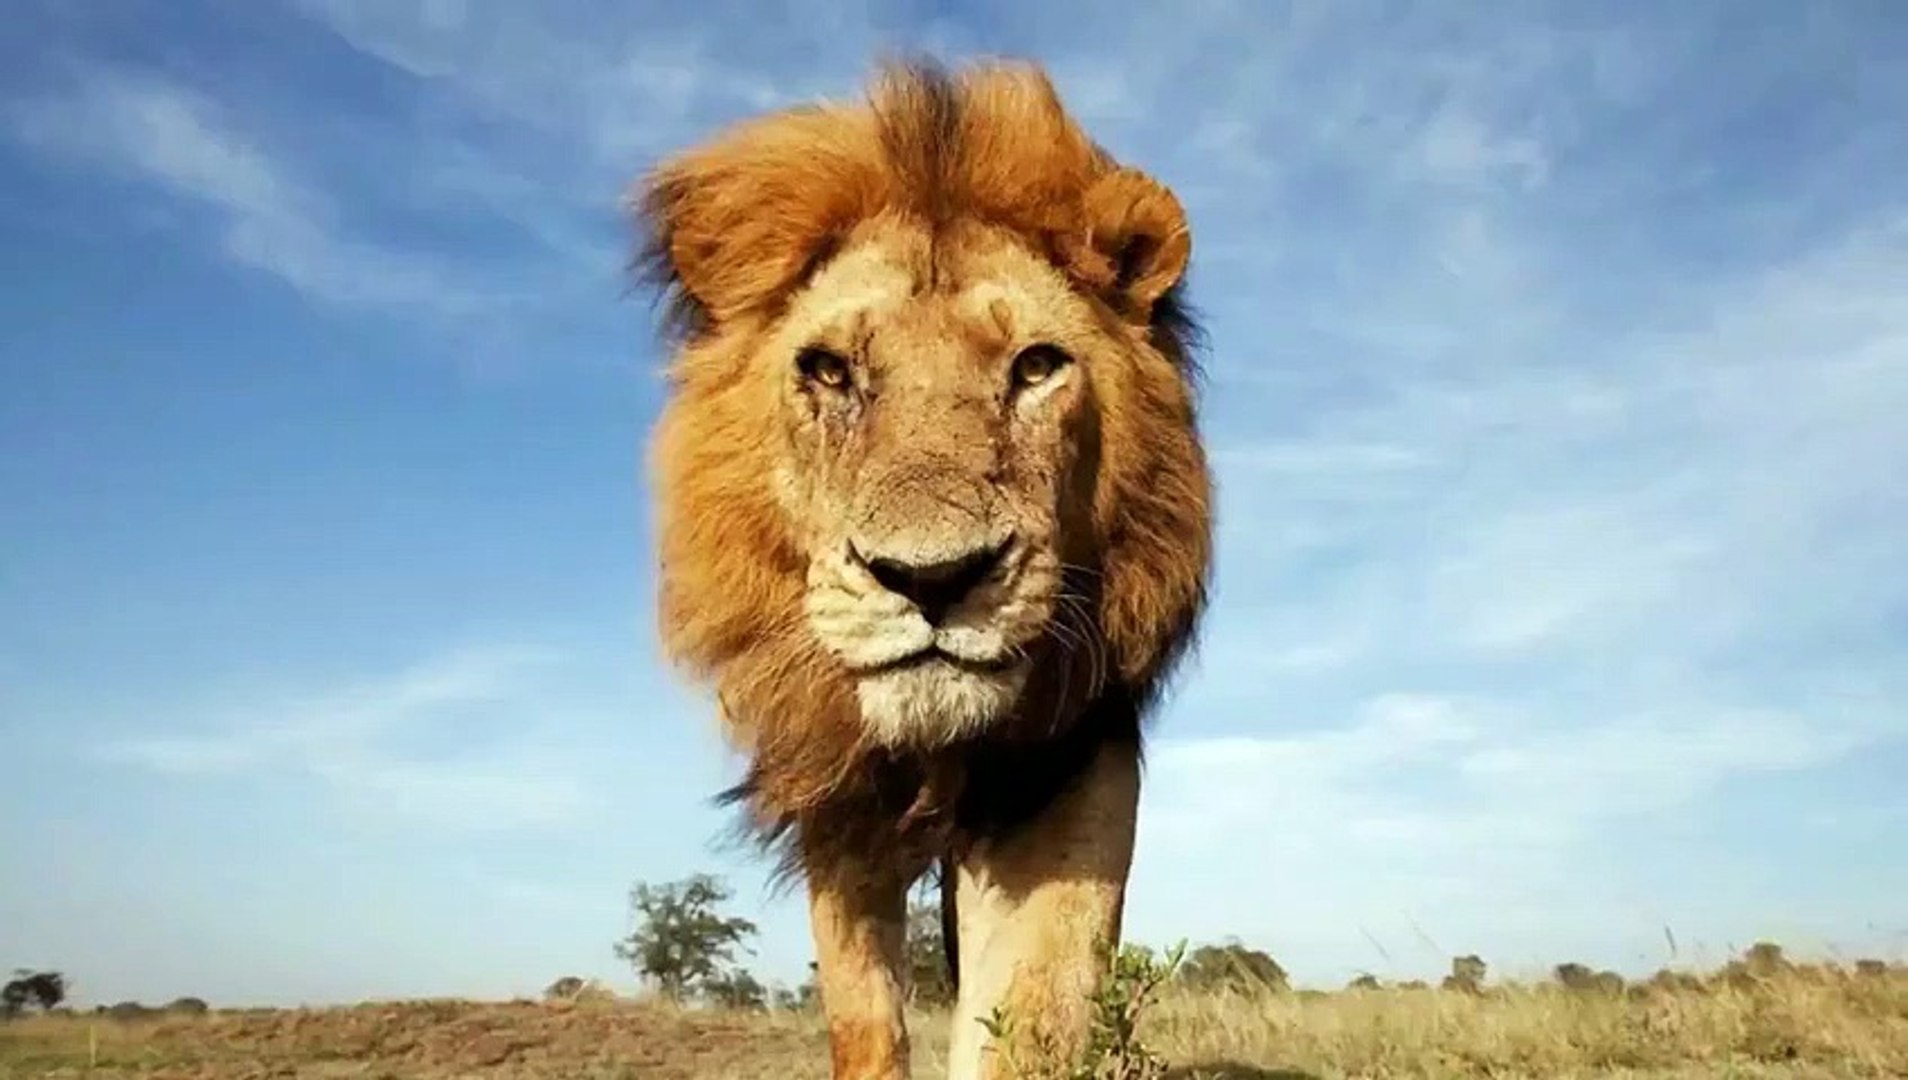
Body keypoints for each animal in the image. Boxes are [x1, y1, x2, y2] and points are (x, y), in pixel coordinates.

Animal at [630, 57, 1213, 1080]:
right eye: (829, 371)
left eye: (1036, 367)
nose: (932, 580)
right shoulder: (835, 807)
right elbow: (864, 1020)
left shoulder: (1065, 771)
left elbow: (1035, 1013)